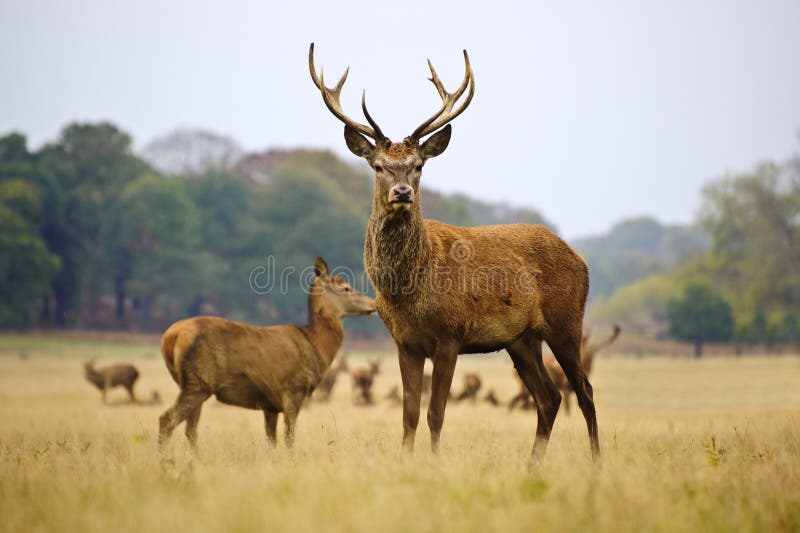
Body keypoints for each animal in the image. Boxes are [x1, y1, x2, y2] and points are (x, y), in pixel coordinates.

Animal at [158, 257, 375, 450]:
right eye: (346, 287)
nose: (374, 303)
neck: (316, 345)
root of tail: (170, 337)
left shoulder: (269, 404)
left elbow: (272, 442)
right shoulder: (292, 390)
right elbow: (289, 439)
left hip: (191, 383)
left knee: (190, 429)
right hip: (198, 380)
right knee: (166, 420)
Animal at [310, 43, 600, 464]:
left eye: (418, 165)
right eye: (378, 166)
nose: (402, 192)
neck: (408, 290)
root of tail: (581, 260)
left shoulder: (450, 336)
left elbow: (435, 413)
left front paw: (433, 463)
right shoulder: (405, 342)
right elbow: (409, 414)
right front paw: (406, 461)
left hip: (566, 322)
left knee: (585, 392)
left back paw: (596, 463)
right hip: (521, 340)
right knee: (549, 398)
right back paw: (532, 466)